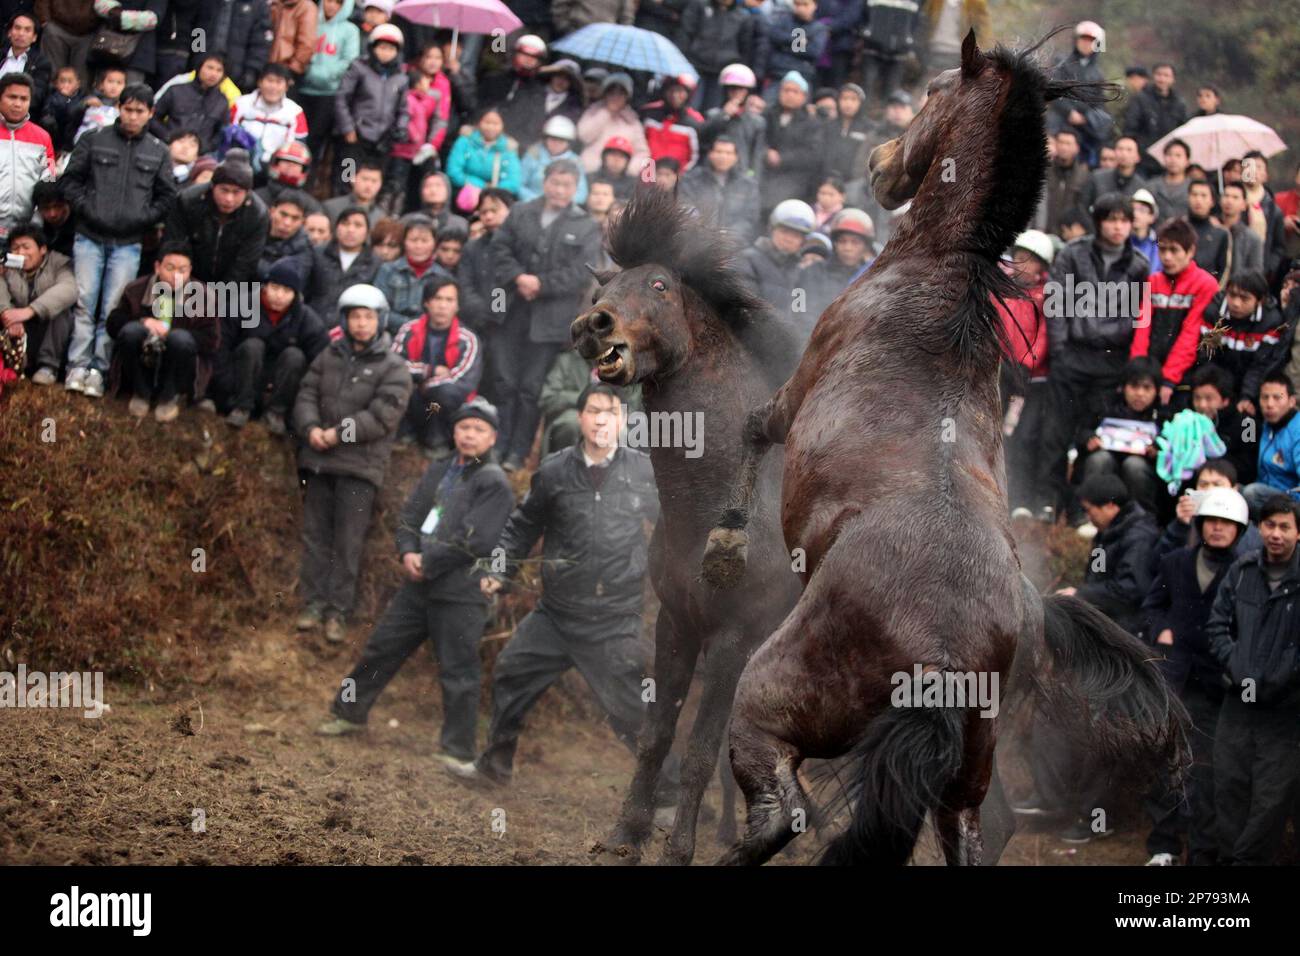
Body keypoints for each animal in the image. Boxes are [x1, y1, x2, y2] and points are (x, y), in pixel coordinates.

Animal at [568, 187, 806, 865]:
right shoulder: (677, 624)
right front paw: (626, 833)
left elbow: (699, 752)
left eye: (658, 284)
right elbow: (658, 735)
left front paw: (677, 849)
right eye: (601, 291)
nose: (592, 327)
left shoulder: (734, 639)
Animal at [700, 31, 1190, 866]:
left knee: (779, 811)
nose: (879, 162)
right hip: (966, 776)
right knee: (962, 830)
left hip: (772, 696)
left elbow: (749, 429)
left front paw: (725, 546)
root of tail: (946, 654)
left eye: (931, 92)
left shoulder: (794, 398)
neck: (936, 274)